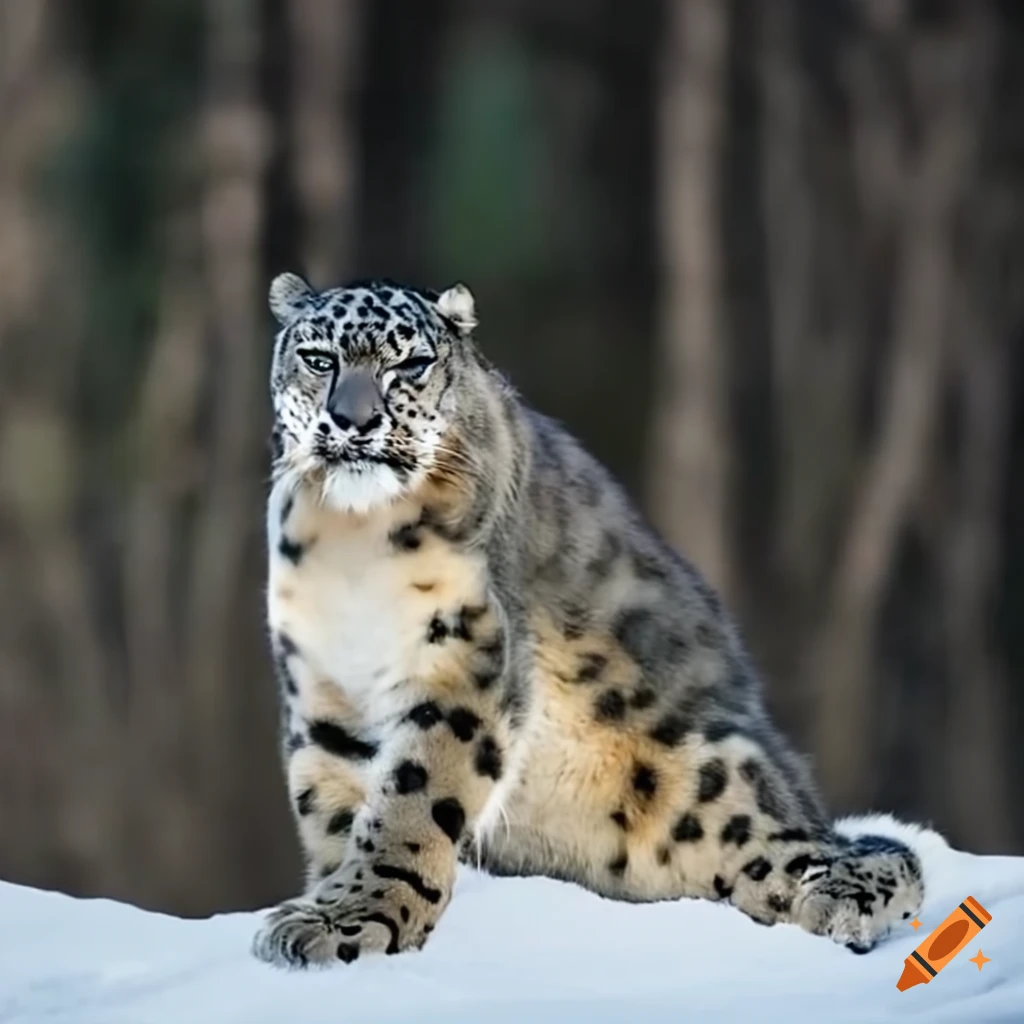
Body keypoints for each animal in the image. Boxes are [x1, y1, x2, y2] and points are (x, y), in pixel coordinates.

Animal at [252, 272, 927, 968]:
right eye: (319, 359)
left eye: (410, 363)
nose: (353, 418)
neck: (355, 545)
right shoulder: (323, 685)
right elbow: (336, 805)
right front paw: (330, 904)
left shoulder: (464, 655)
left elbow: (413, 797)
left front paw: (350, 920)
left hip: (711, 775)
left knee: (865, 853)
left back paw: (844, 903)